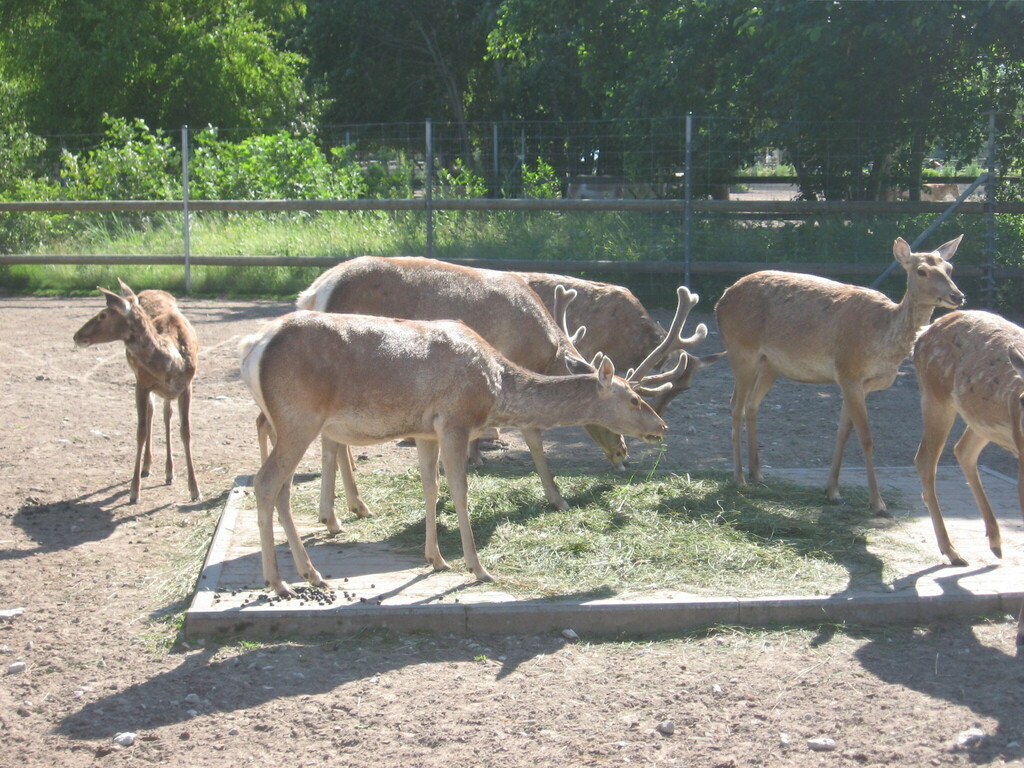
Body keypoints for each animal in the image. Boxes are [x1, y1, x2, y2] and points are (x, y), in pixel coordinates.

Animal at [73, 279, 201, 504]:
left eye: (103, 315)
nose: (77, 335)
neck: (172, 362)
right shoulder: (141, 383)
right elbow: (140, 431)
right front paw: (134, 491)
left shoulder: (187, 386)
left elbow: (185, 431)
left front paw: (194, 489)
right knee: (151, 413)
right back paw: (147, 467)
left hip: (167, 392)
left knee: (166, 414)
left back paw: (169, 472)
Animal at [239, 310, 668, 597]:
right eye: (633, 398)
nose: (661, 426)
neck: (497, 388)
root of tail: (253, 348)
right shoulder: (455, 421)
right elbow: (460, 491)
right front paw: (478, 568)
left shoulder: (425, 431)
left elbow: (430, 487)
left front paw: (436, 559)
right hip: (298, 418)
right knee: (265, 483)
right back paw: (279, 581)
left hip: (285, 423)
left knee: (282, 489)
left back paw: (310, 573)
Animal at [714, 234, 964, 515]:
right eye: (921, 271)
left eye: (949, 268)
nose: (957, 296)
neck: (885, 342)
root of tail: (721, 299)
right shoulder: (849, 372)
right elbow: (866, 437)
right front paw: (878, 503)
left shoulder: (860, 384)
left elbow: (843, 432)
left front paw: (832, 491)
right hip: (741, 350)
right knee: (735, 405)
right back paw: (739, 478)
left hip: (770, 364)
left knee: (752, 404)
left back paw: (757, 473)